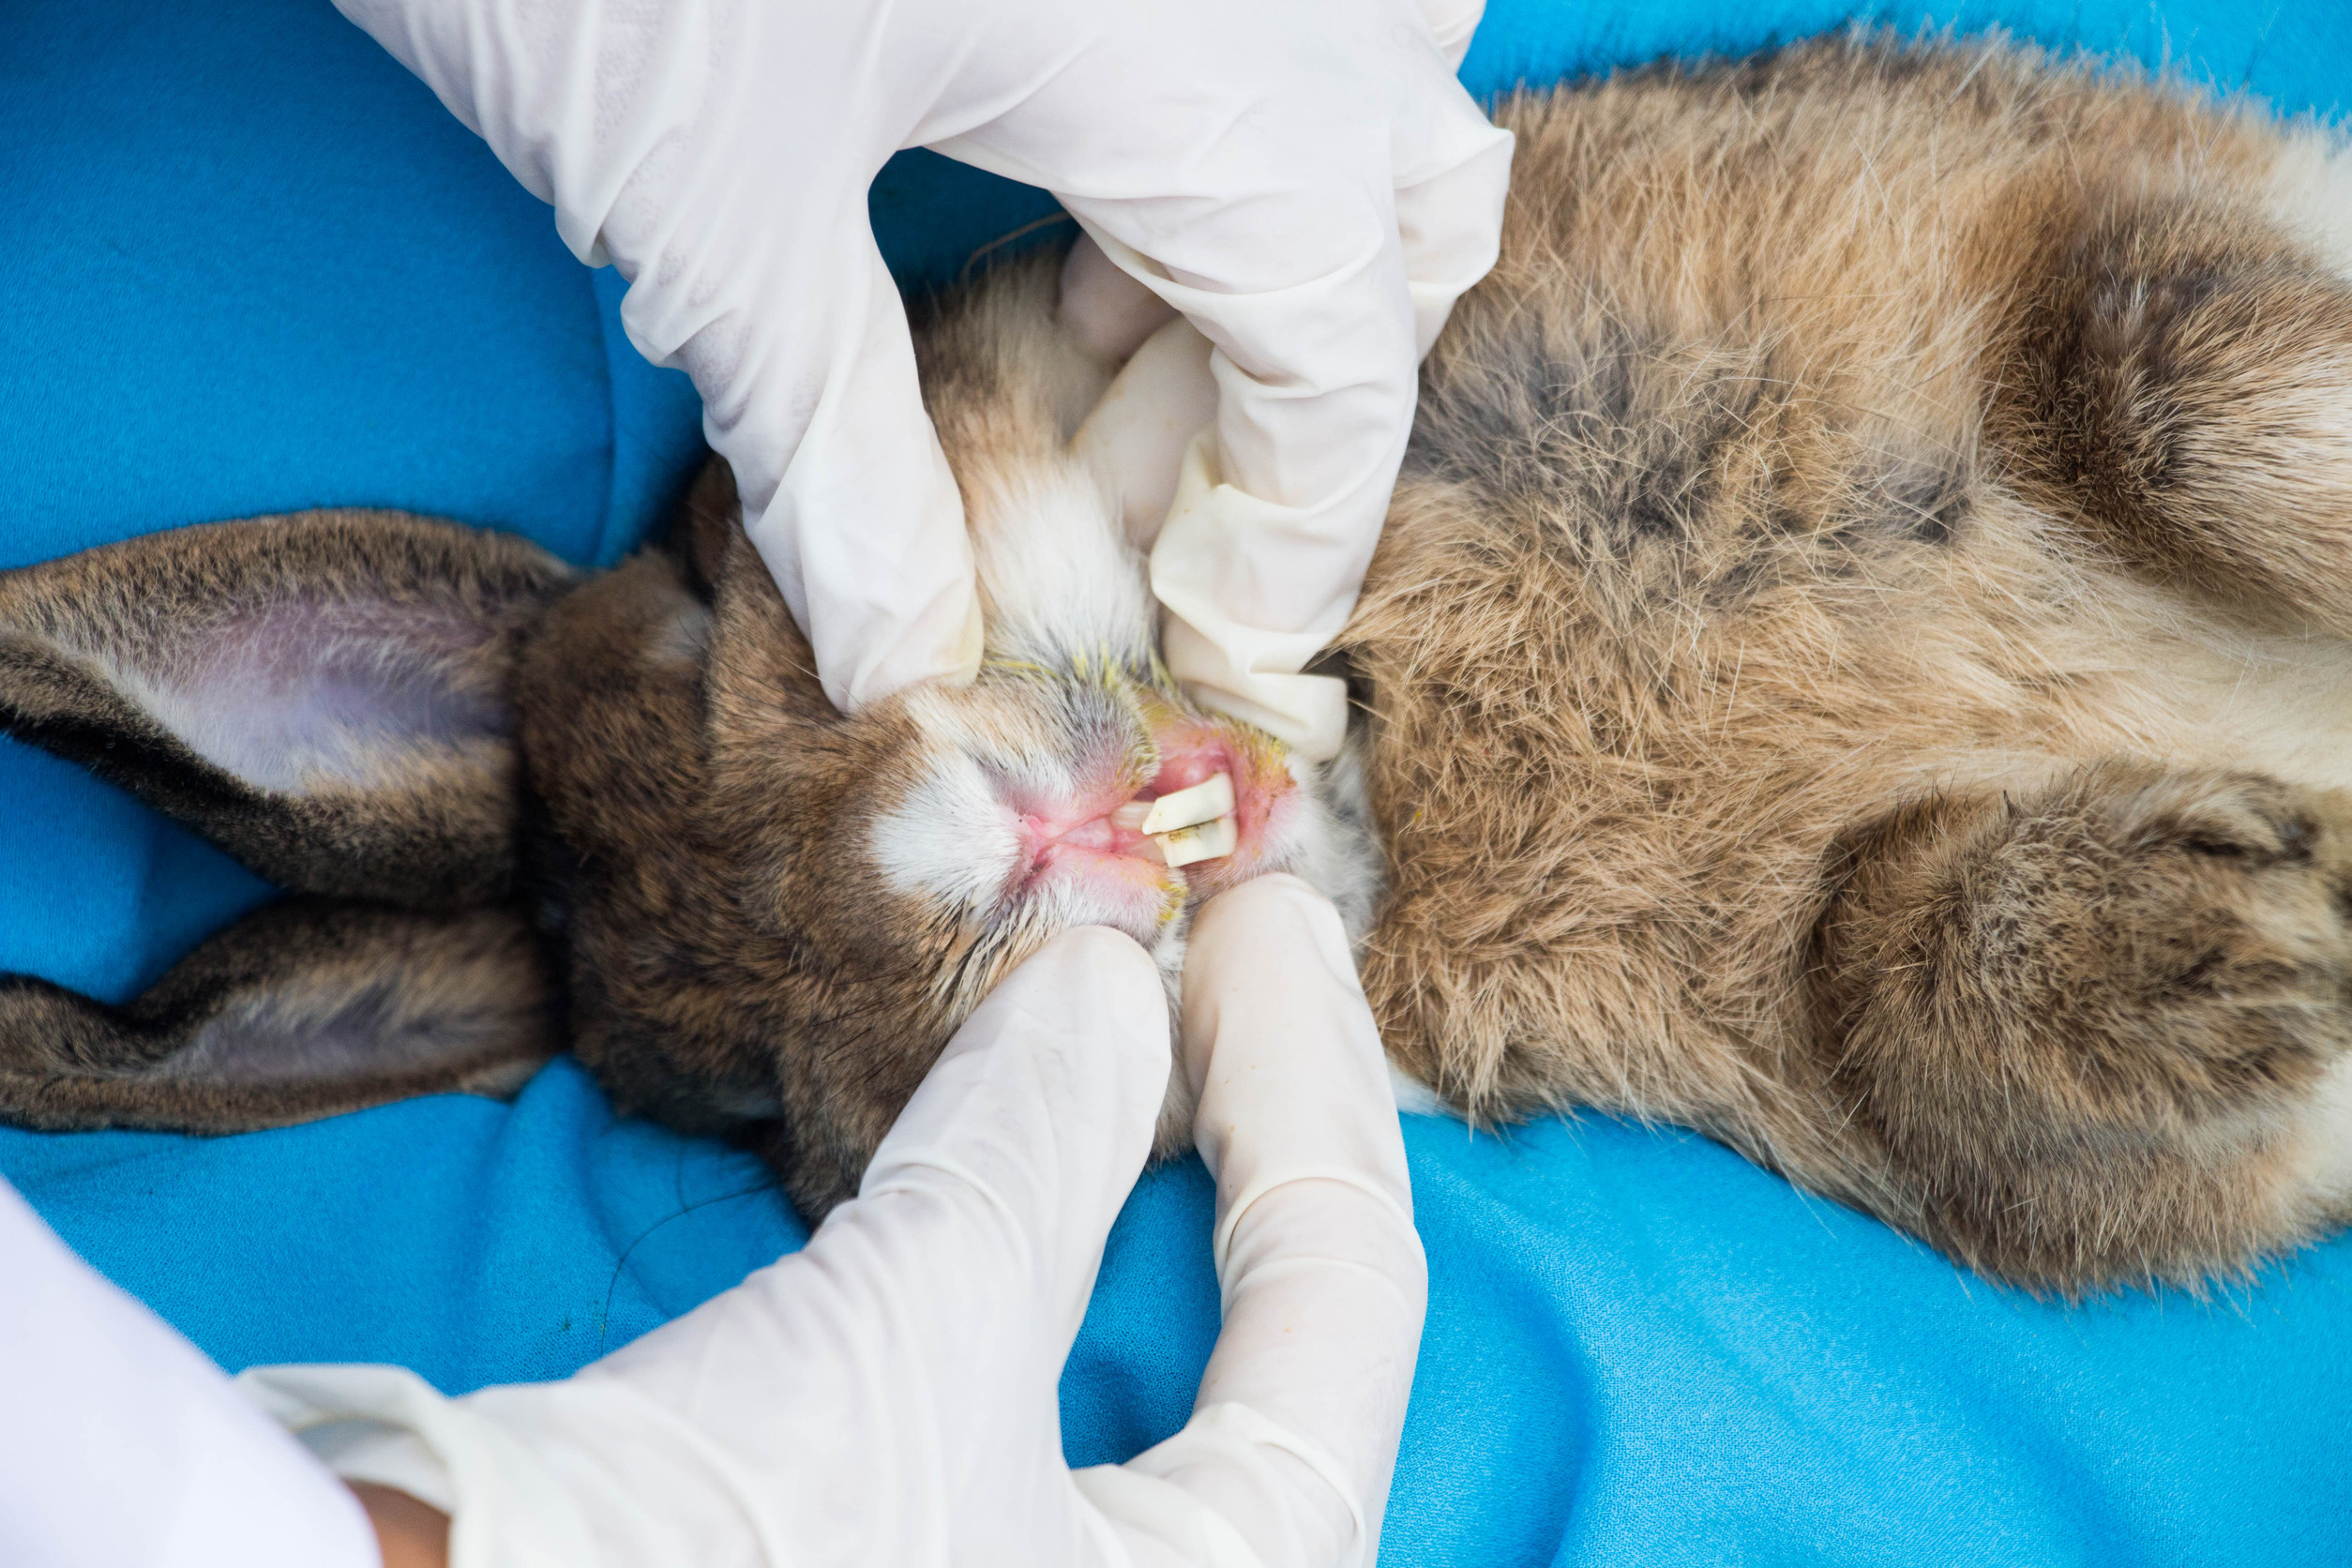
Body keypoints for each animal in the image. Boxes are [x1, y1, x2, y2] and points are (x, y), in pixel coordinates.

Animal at [11, 31, 2352, 1293]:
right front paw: (2257, 937)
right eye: (773, 1118)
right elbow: (1895, 960)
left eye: (699, 619)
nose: (1006, 850)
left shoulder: (2077, 231)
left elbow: (2165, 377)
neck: (1399, 729)